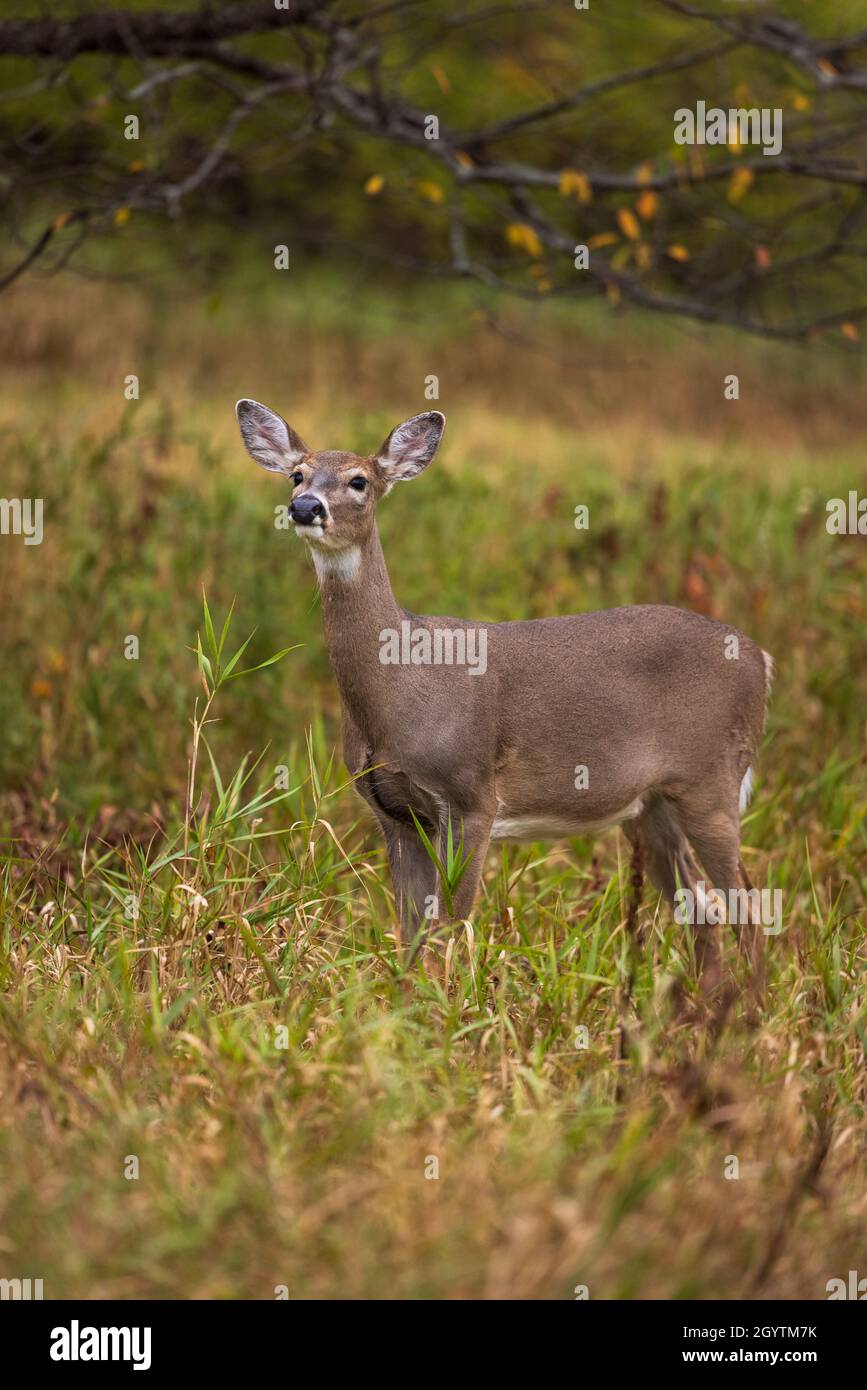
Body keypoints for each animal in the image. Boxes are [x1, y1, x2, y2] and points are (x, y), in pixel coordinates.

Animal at [235, 400, 773, 968]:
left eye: (359, 480)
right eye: (296, 474)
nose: (305, 507)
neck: (401, 685)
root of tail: (761, 658)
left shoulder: (472, 795)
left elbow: (452, 925)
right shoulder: (393, 812)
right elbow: (411, 932)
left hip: (712, 779)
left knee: (747, 905)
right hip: (650, 805)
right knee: (702, 907)